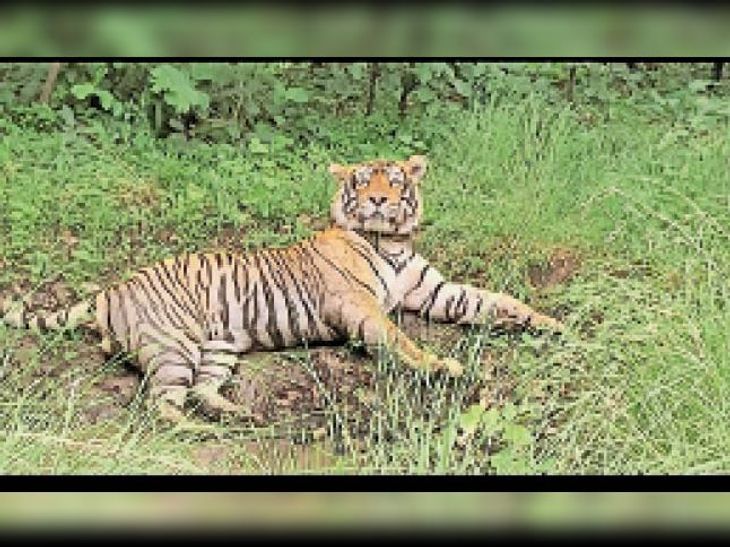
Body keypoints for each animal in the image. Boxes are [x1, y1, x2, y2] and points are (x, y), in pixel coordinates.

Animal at [1, 155, 563, 423]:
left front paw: (551, 324)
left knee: (199, 392)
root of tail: (108, 290)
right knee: (160, 405)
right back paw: (204, 430)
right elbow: (398, 336)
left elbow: (495, 301)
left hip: (218, 347)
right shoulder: (358, 304)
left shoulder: (435, 291)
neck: (394, 242)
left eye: (396, 181)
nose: (380, 201)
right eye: (361, 181)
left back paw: (238, 415)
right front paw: (441, 366)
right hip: (173, 343)